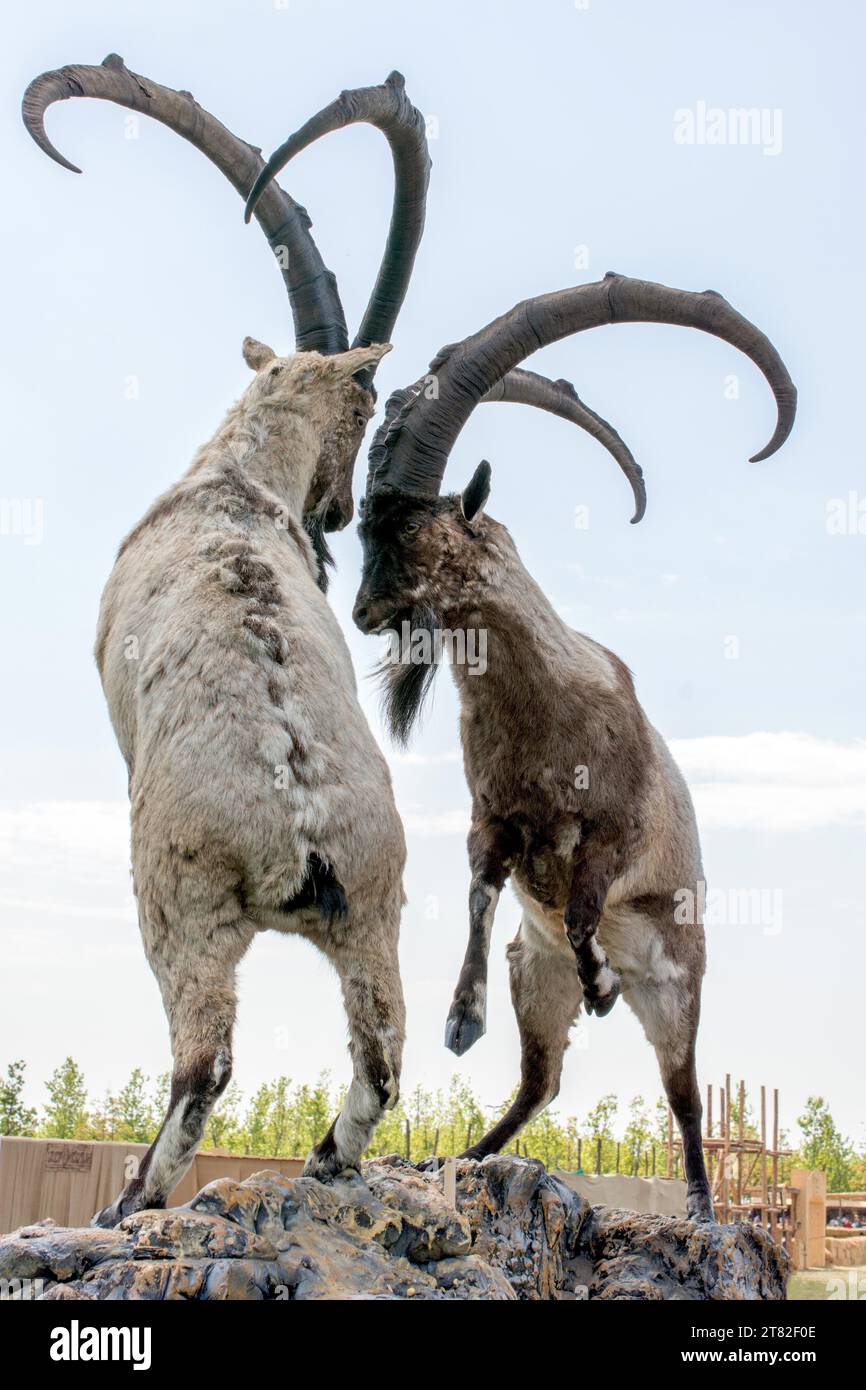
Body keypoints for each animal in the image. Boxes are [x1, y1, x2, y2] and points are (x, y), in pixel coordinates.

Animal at [23, 57, 432, 1223]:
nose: (335, 510)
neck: (233, 485)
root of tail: (301, 827)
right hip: (378, 911)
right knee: (382, 1058)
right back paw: (328, 1163)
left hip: (185, 904)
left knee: (204, 1060)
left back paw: (133, 1199)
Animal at [353, 273, 797, 1221]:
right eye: (366, 526)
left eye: (411, 530)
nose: (367, 612)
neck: (549, 713)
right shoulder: (496, 819)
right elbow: (482, 889)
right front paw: (460, 1019)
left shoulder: (613, 835)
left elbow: (590, 904)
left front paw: (599, 984)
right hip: (537, 976)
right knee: (541, 1081)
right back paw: (463, 1156)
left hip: (679, 985)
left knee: (683, 1093)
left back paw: (700, 1204)